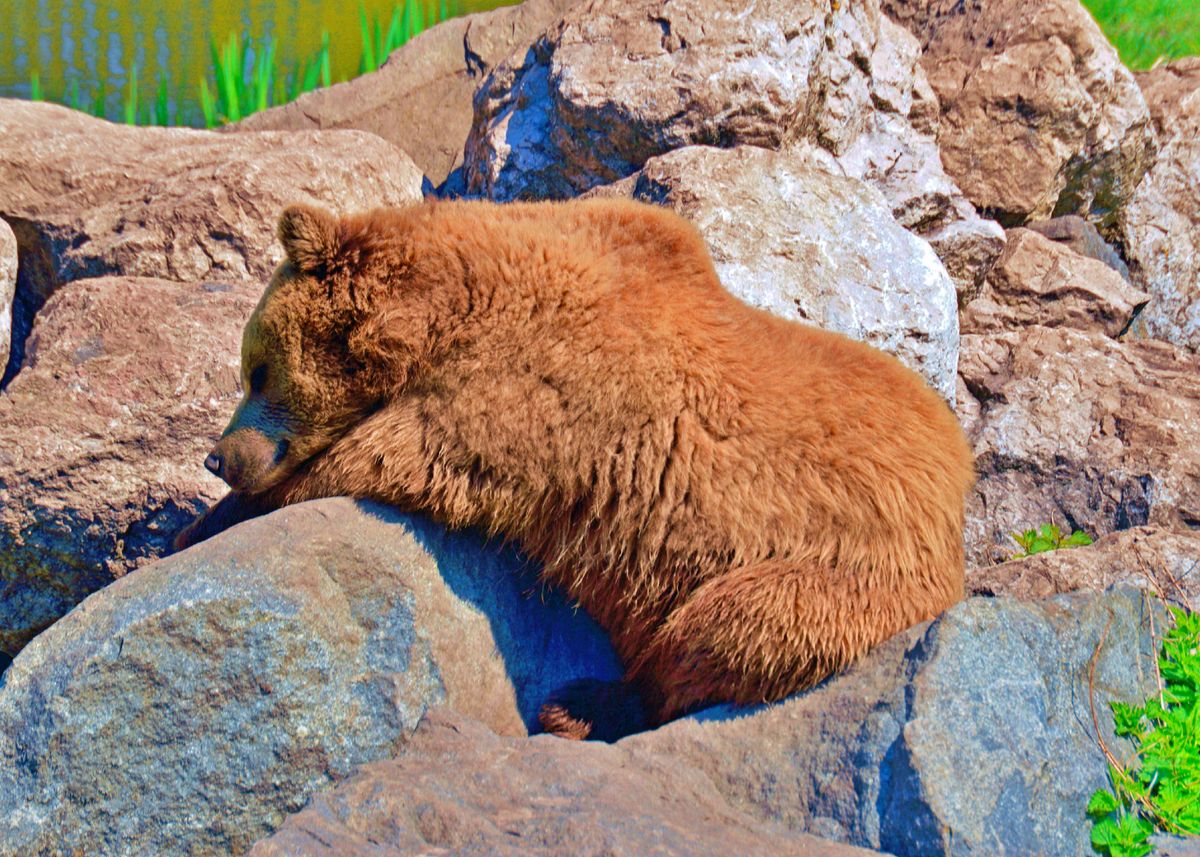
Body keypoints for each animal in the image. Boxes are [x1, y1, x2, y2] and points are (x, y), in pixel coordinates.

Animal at [176, 197, 975, 739]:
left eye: (256, 369)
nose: (219, 456)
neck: (442, 313)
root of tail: (957, 501)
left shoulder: (525, 399)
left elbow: (388, 457)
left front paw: (200, 526)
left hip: (840, 571)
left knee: (728, 629)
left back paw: (581, 704)